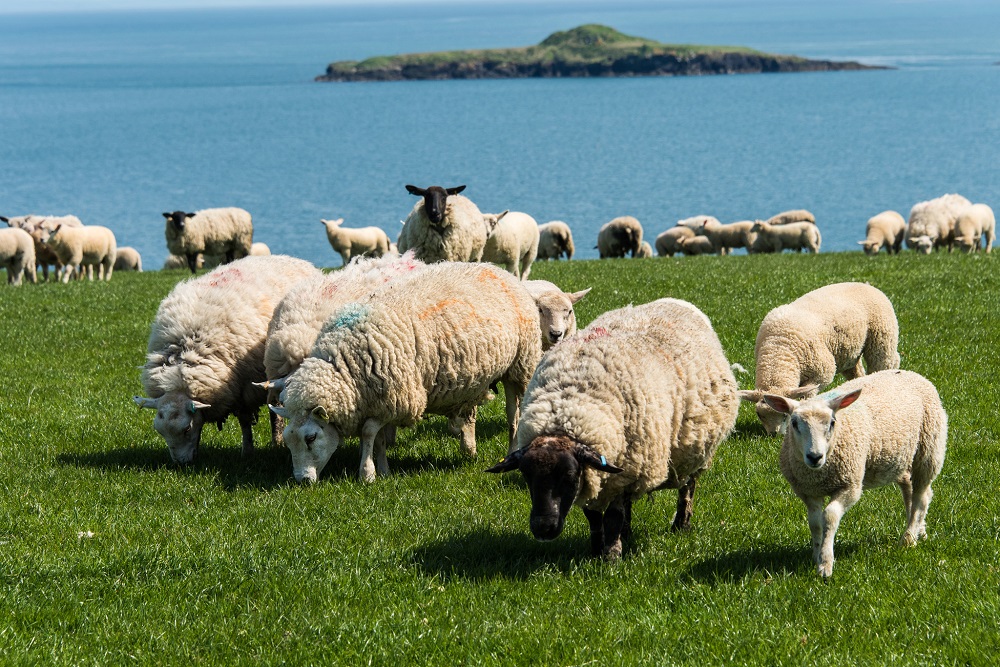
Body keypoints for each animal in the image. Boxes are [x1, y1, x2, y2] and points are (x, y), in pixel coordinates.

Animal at [133, 255, 322, 464]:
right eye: (160, 431)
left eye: (187, 429)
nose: (181, 464)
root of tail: (291, 258)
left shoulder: (244, 387)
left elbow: (245, 420)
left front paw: (247, 452)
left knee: (275, 411)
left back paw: (277, 441)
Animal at [271, 261, 541, 483]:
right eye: (288, 439)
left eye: (311, 438)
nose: (302, 481)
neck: (346, 364)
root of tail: (496, 269)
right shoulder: (379, 400)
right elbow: (378, 438)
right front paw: (383, 470)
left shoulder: (397, 397)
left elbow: (368, 433)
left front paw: (366, 474)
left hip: (520, 365)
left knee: (514, 415)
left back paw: (510, 452)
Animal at [486, 298, 739, 559]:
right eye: (526, 475)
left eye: (568, 475)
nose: (543, 529)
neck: (567, 404)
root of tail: (676, 300)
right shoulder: (600, 471)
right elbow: (594, 517)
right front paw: (598, 549)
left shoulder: (621, 473)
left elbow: (614, 516)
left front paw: (611, 556)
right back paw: (628, 533)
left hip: (695, 448)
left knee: (688, 487)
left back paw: (681, 524)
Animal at [738, 282, 900, 434]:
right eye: (759, 414)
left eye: (784, 416)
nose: (773, 434)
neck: (780, 349)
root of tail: (865, 284)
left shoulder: (822, 373)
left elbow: (807, 396)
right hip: (849, 354)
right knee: (858, 373)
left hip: (882, 337)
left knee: (887, 361)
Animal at [762, 369, 947, 578]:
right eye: (793, 423)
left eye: (832, 422)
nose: (815, 457)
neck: (819, 473)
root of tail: (911, 373)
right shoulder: (808, 491)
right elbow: (815, 523)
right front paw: (817, 554)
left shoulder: (850, 486)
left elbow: (829, 517)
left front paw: (825, 563)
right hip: (901, 459)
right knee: (911, 491)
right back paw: (919, 530)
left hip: (928, 451)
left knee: (921, 497)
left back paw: (908, 539)